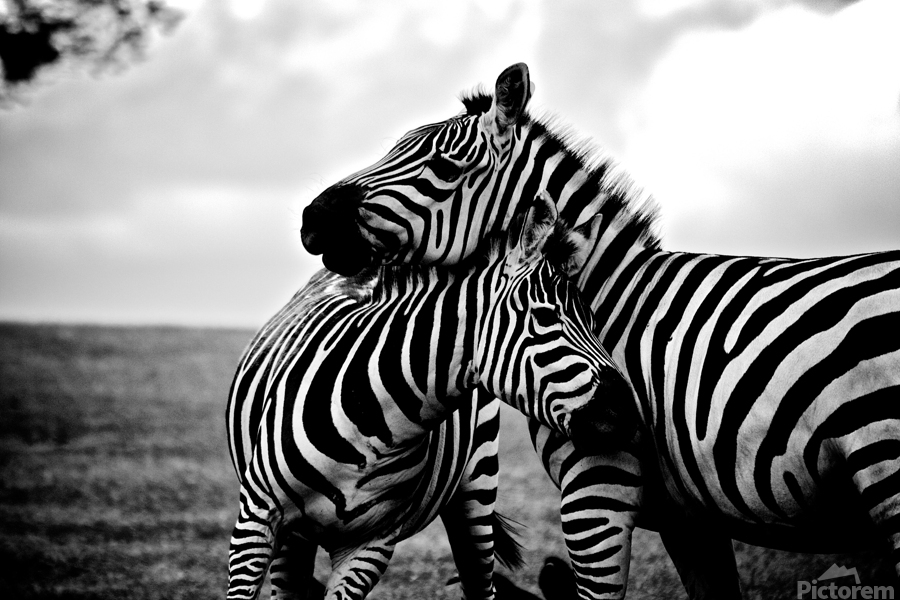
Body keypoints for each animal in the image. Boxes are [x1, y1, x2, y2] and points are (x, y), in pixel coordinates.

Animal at [225, 190, 634, 600]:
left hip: (476, 491)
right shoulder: (256, 519)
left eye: (594, 322)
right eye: (546, 317)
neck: (372, 422)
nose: (628, 411)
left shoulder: (371, 543)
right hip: (294, 538)